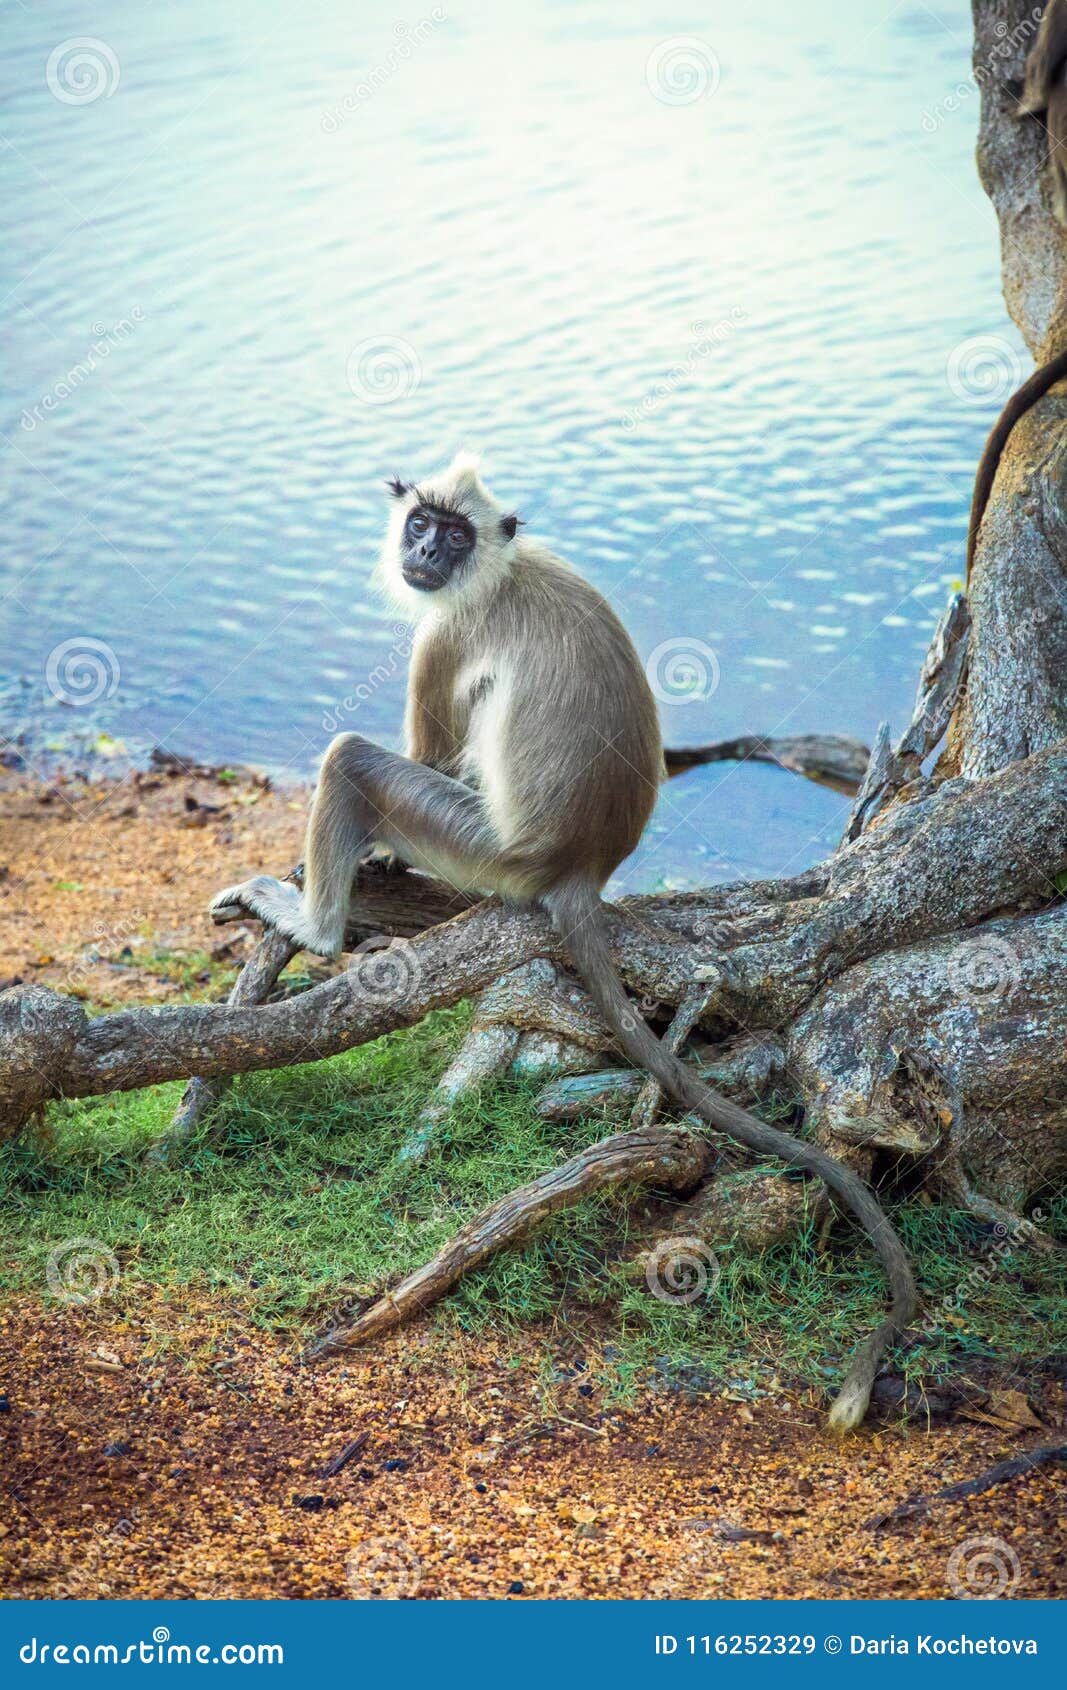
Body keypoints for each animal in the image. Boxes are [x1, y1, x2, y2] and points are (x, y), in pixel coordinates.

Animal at [210, 453, 914, 1434]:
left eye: (452, 536)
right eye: (422, 525)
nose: (424, 552)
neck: (498, 573)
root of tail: (577, 864)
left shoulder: (447, 635)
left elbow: (430, 748)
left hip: (480, 843)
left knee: (354, 760)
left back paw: (312, 921)